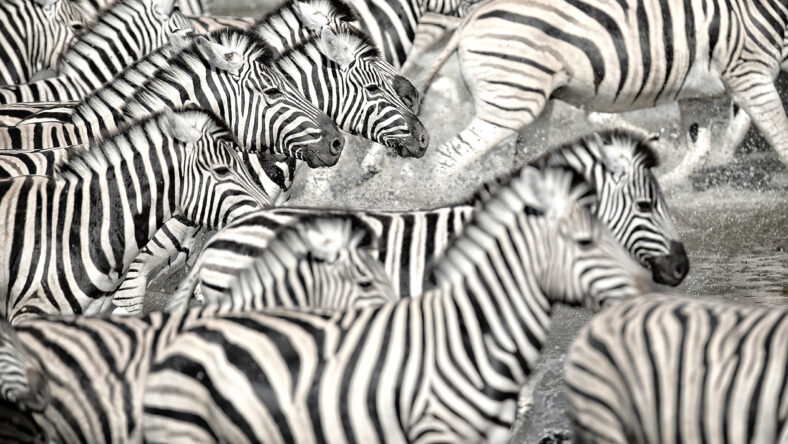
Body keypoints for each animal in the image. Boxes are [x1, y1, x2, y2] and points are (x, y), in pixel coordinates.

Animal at [420, 0, 788, 179]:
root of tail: (470, 18)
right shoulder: (749, 70)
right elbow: (782, 140)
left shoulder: (696, 93)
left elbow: (698, 152)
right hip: (511, 100)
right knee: (448, 157)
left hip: (535, 101)